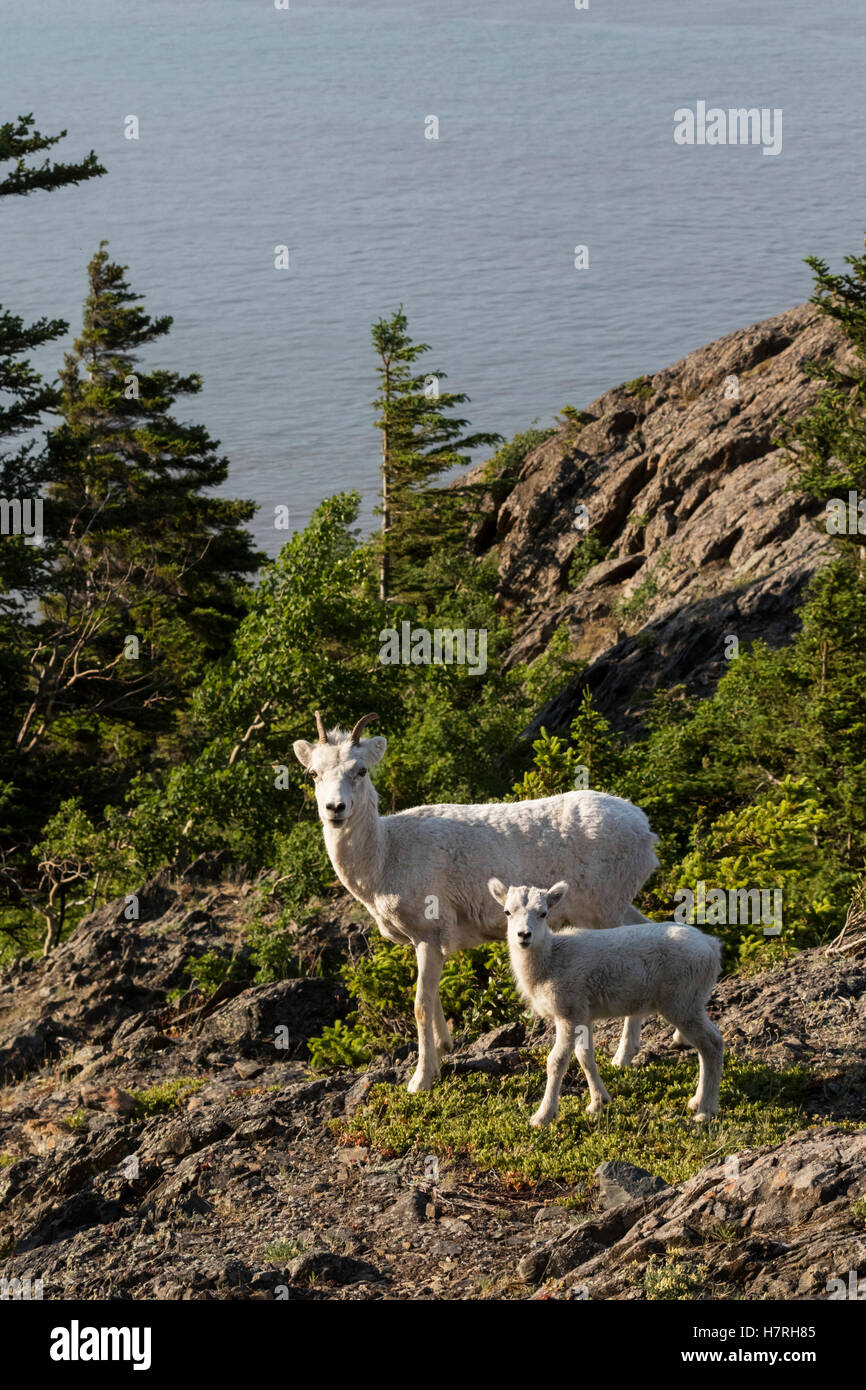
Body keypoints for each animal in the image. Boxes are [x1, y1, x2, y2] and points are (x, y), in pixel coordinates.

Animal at [292, 711, 660, 1093]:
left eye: (361, 770)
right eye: (313, 773)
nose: (335, 808)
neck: (385, 855)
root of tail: (645, 830)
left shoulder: (429, 932)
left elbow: (420, 1004)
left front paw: (421, 1080)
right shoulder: (426, 940)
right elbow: (433, 998)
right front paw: (444, 1048)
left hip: (605, 910)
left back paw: (622, 1057)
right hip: (611, 907)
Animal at [488, 878, 723, 1126]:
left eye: (543, 913)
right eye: (507, 912)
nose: (524, 935)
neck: (550, 960)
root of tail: (712, 946)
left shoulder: (568, 1012)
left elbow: (556, 1061)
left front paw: (542, 1116)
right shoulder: (583, 1014)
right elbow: (585, 1057)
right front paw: (598, 1103)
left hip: (682, 1001)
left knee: (712, 1044)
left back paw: (705, 1111)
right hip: (690, 1001)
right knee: (704, 1045)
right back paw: (696, 1101)